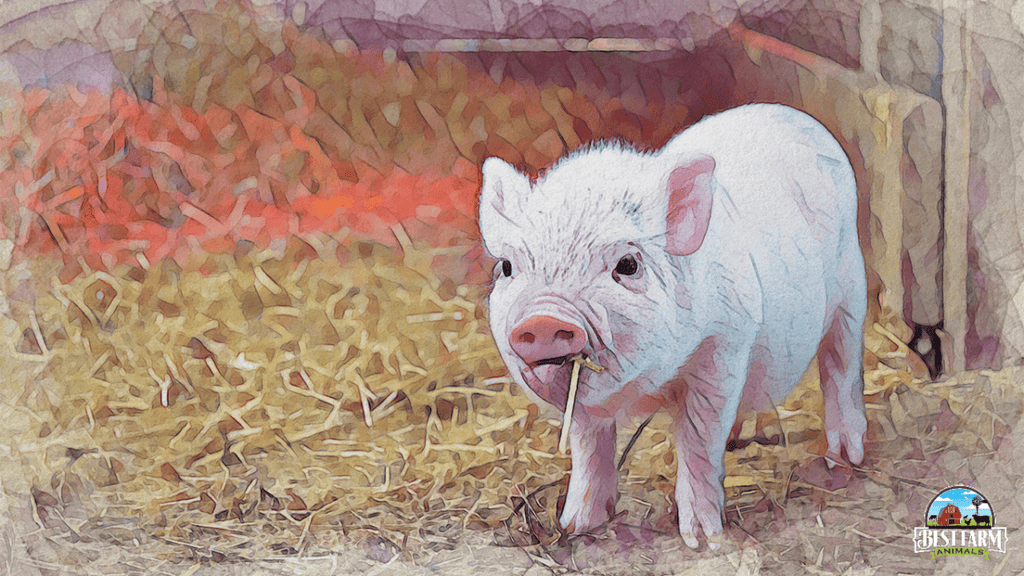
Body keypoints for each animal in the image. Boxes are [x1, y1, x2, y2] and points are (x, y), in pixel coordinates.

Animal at [478, 103, 868, 549]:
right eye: (508, 267)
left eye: (627, 264)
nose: (543, 319)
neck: (650, 384)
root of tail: (793, 115)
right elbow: (589, 447)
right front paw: (575, 526)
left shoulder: (725, 341)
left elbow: (699, 439)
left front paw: (703, 539)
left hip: (852, 286)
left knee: (841, 363)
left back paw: (845, 458)